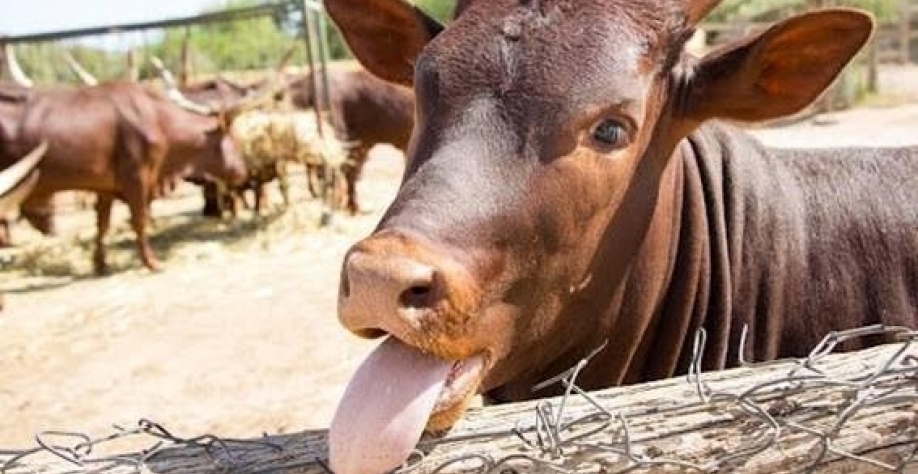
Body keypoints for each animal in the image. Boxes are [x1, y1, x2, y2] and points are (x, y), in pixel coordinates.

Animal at [0, 81, 248, 275]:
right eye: (235, 141)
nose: (243, 172)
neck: (158, 119)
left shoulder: (106, 186)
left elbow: (102, 224)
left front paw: (100, 263)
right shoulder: (136, 179)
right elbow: (139, 221)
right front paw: (152, 262)